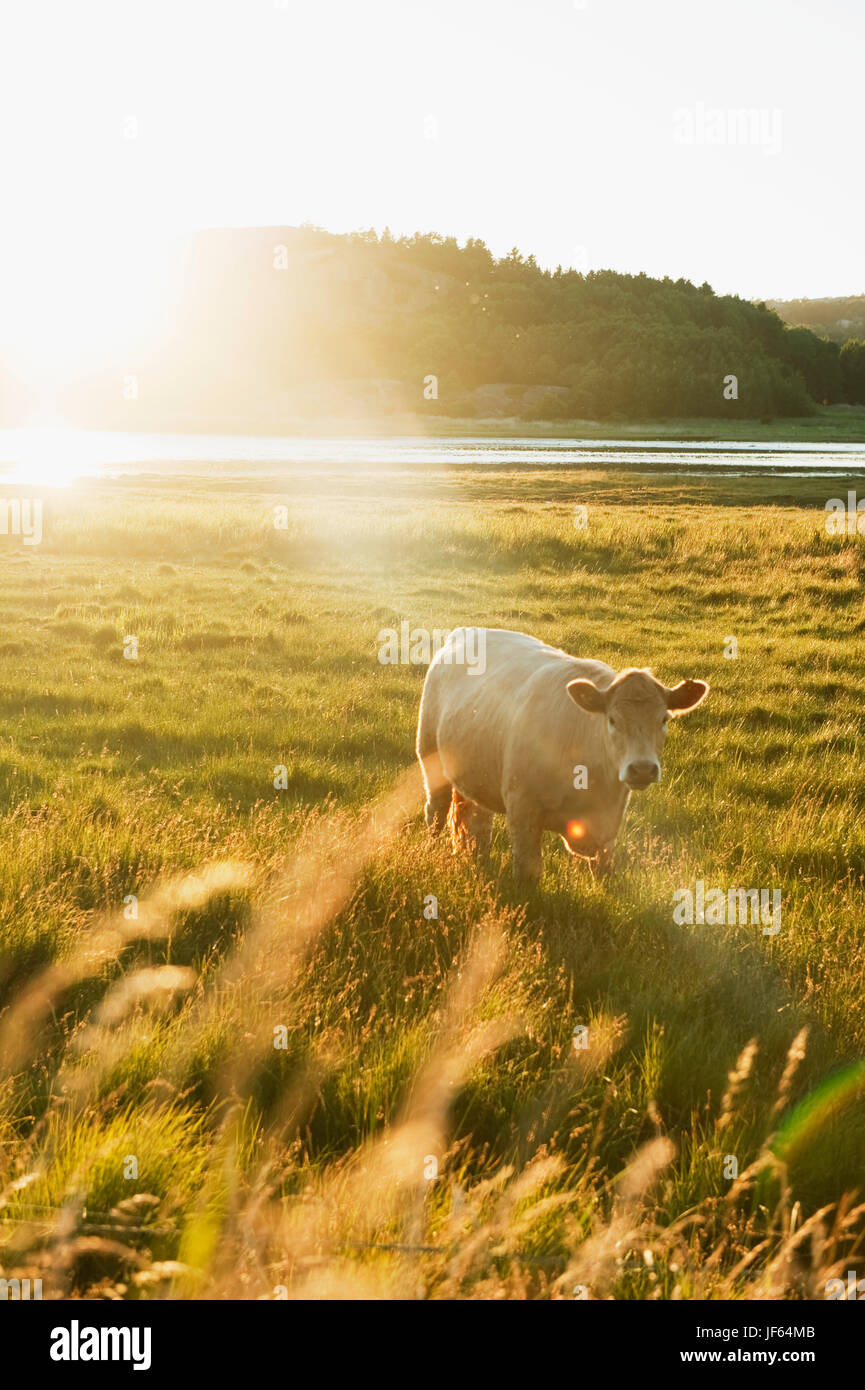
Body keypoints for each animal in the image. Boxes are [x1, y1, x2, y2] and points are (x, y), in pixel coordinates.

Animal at [416, 627, 708, 882]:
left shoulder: (610, 824)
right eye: (612, 720)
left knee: (476, 820)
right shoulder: (523, 808)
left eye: (664, 719)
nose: (643, 768)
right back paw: (431, 850)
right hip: (430, 757)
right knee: (436, 813)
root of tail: (465, 631)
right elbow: (528, 871)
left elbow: (603, 871)